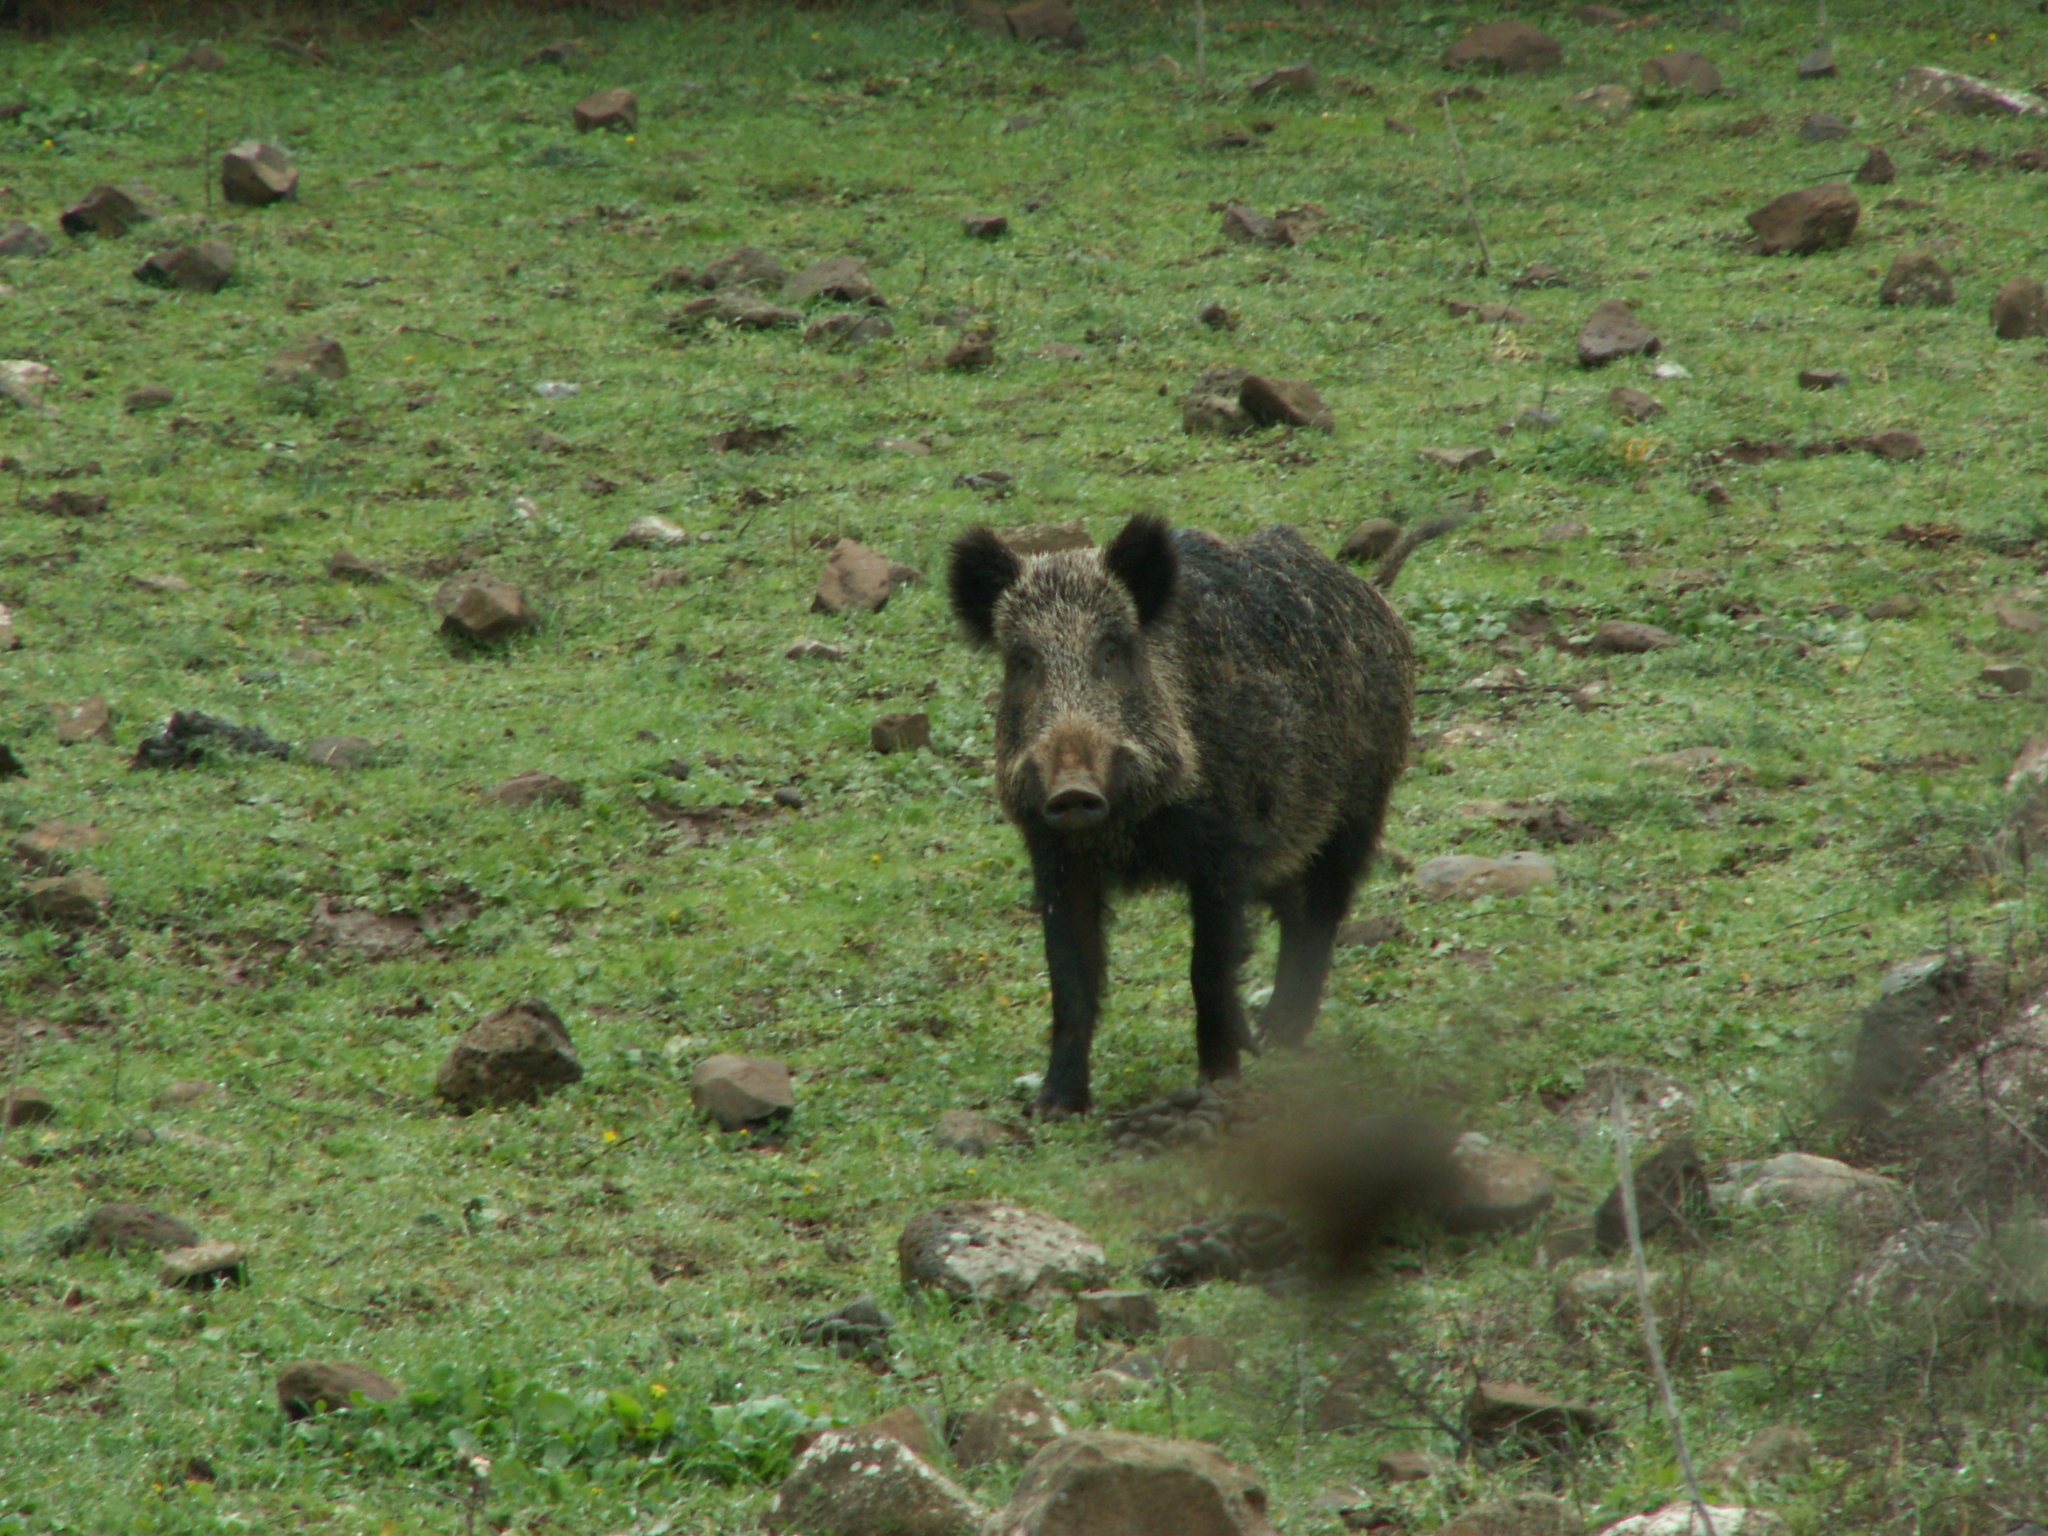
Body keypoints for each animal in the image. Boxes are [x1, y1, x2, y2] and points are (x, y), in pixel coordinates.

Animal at [948, 512, 1447, 1115]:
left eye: (1112, 651)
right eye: (1023, 661)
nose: (1073, 791)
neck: (1131, 829)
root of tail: (1374, 594)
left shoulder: (1225, 847)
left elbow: (1207, 967)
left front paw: (1220, 1082)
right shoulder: (1057, 857)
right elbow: (1069, 978)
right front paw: (1054, 1107)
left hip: (1359, 803)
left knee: (1324, 911)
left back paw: (1283, 1037)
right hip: (1281, 843)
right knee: (1293, 912)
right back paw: (1266, 1034)